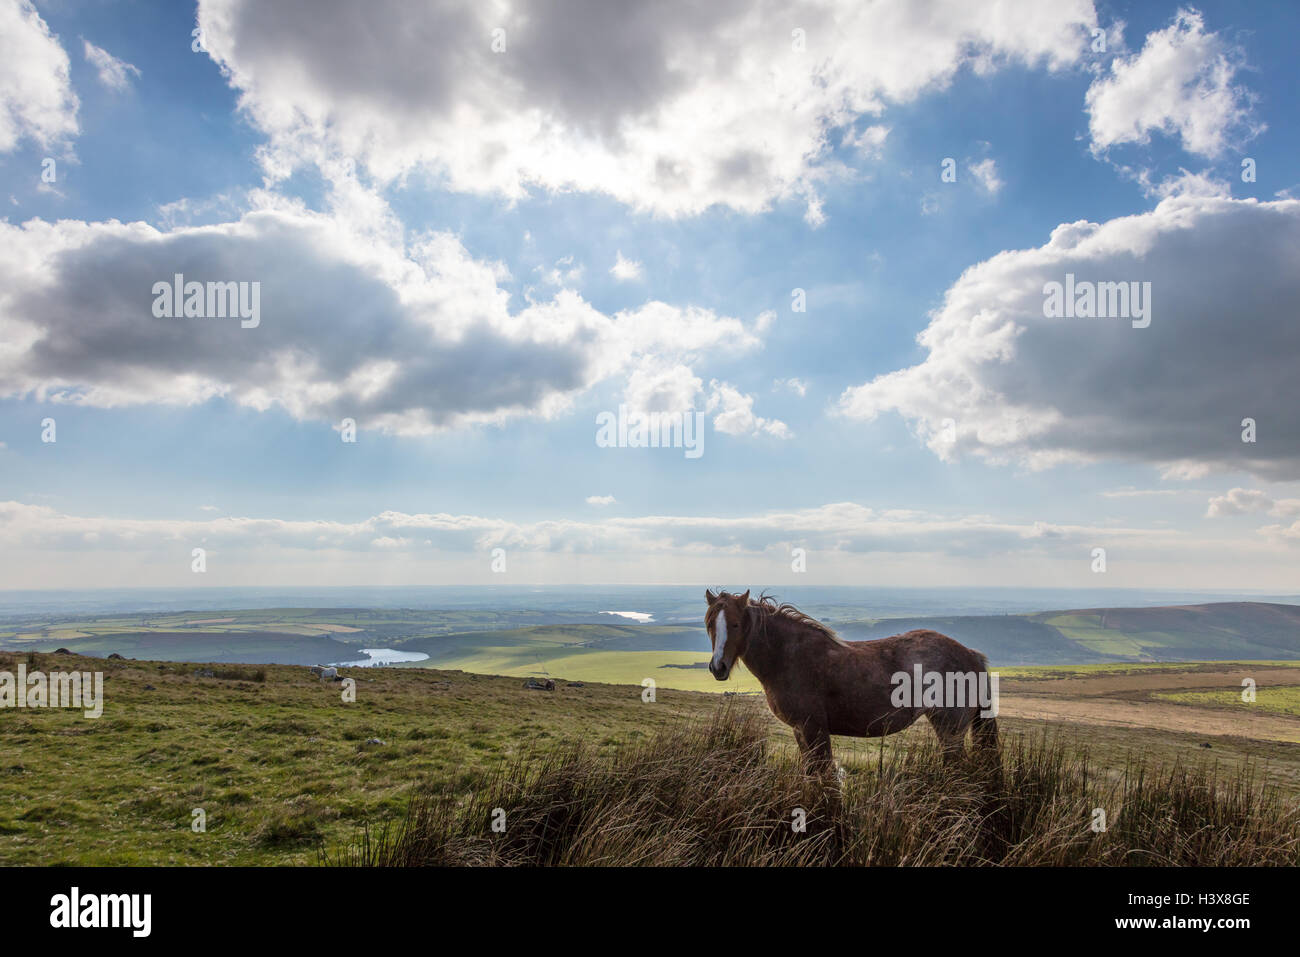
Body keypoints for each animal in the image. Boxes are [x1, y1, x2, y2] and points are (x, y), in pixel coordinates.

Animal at [704, 589, 1000, 774]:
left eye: (736, 624)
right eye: (709, 624)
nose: (718, 667)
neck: (788, 656)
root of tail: (971, 655)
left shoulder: (813, 728)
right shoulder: (800, 730)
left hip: (951, 730)